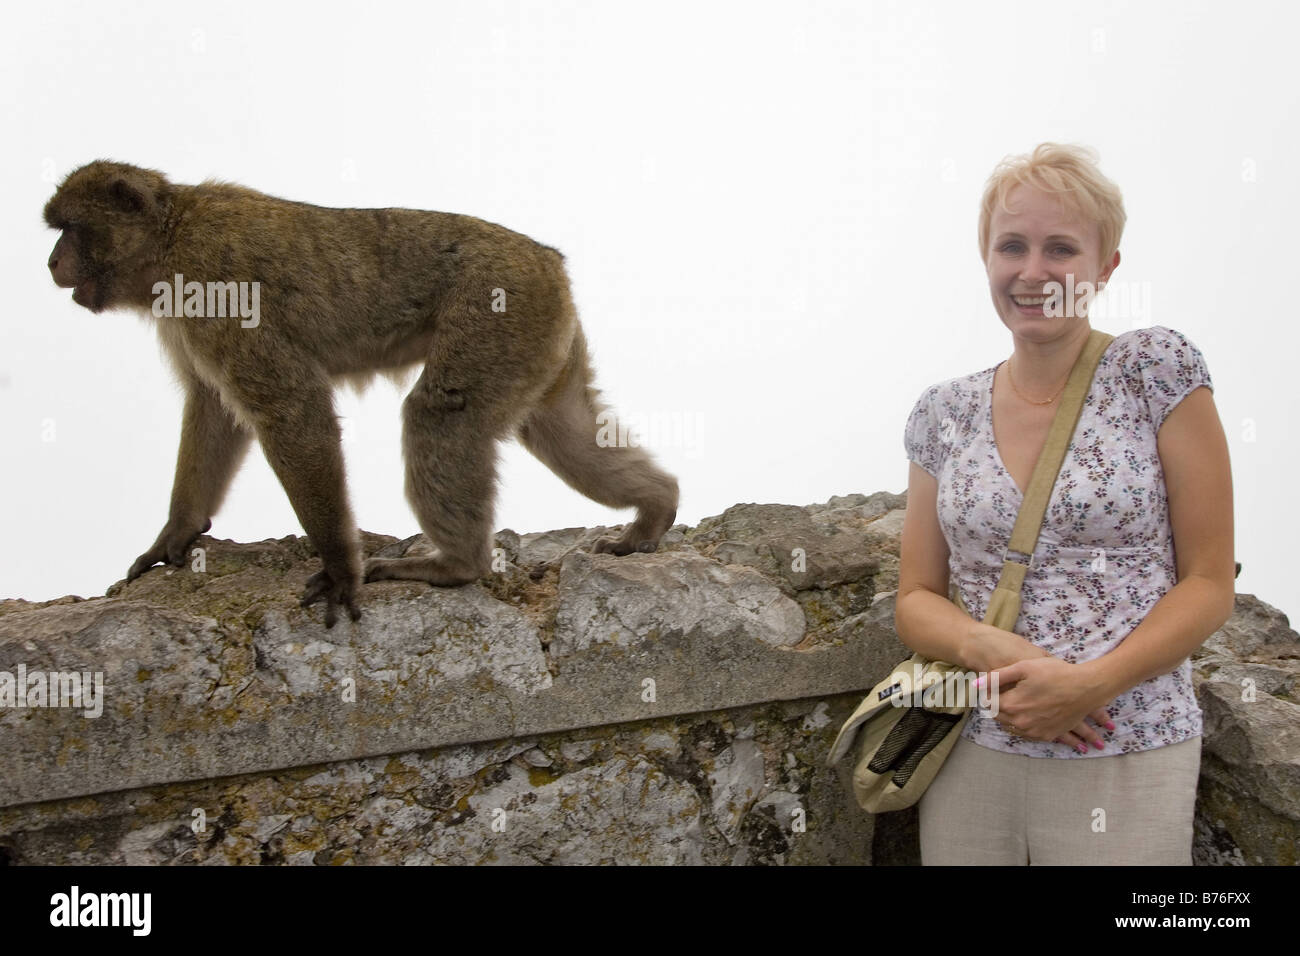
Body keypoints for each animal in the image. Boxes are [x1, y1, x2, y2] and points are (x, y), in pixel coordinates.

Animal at [45, 160, 679, 628]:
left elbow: (292, 411)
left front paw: (340, 569)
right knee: (561, 430)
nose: (51, 261)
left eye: (70, 228)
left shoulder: (215, 284)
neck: (171, 234)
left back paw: (457, 565)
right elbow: (212, 409)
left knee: (439, 415)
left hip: (503, 307)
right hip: (542, 333)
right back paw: (656, 507)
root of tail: (547, 259)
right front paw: (178, 529)